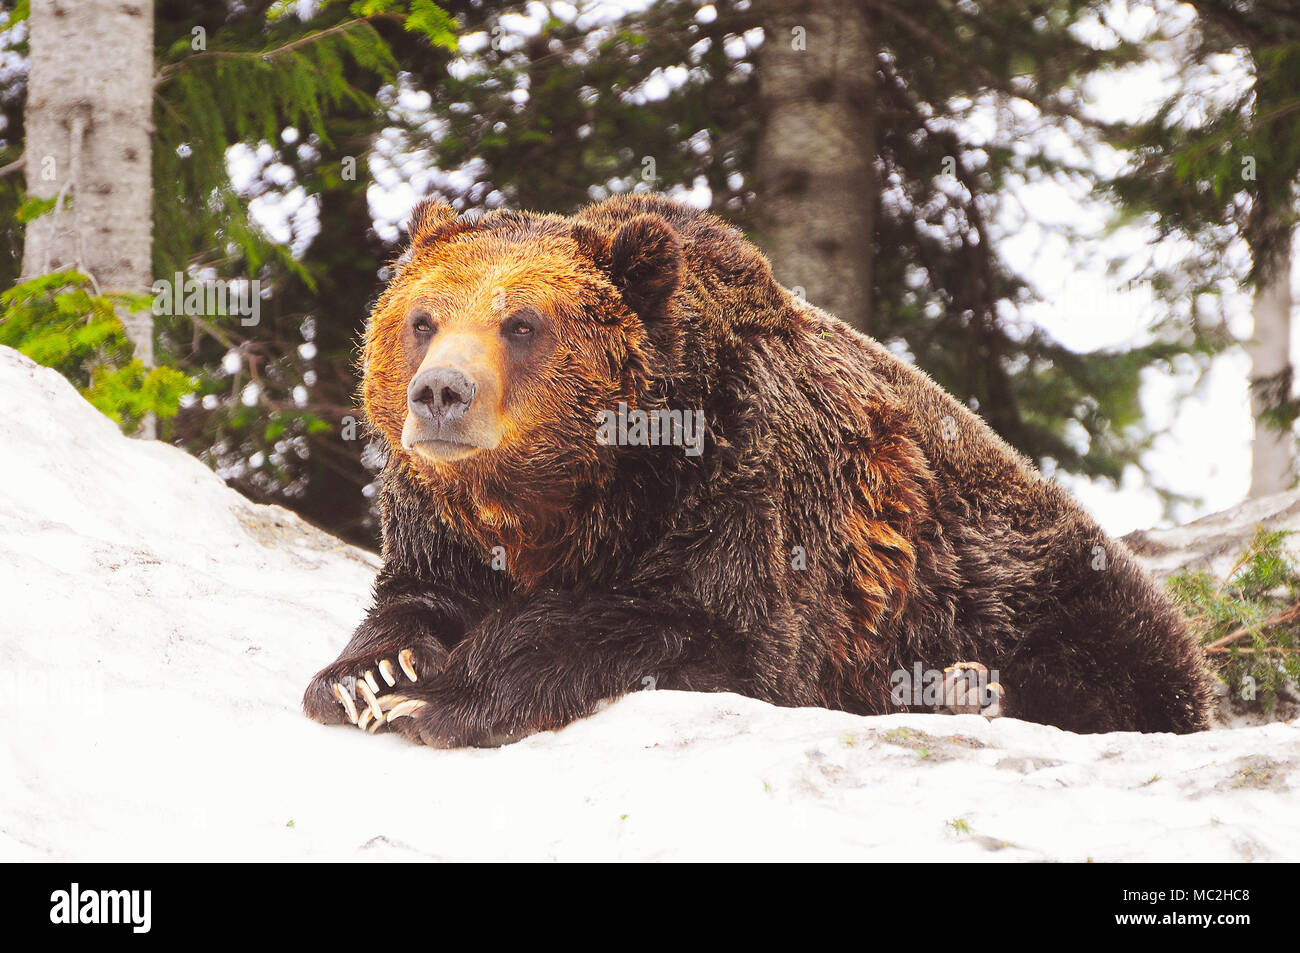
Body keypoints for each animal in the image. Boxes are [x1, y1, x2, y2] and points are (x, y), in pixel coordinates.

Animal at [302, 193, 1212, 747]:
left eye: (521, 322)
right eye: (422, 318)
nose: (440, 394)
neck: (578, 497)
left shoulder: (741, 486)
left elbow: (693, 624)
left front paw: (434, 695)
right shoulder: (441, 519)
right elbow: (412, 595)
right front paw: (371, 675)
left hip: (1030, 574)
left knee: (1124, 664)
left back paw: (969, 686)